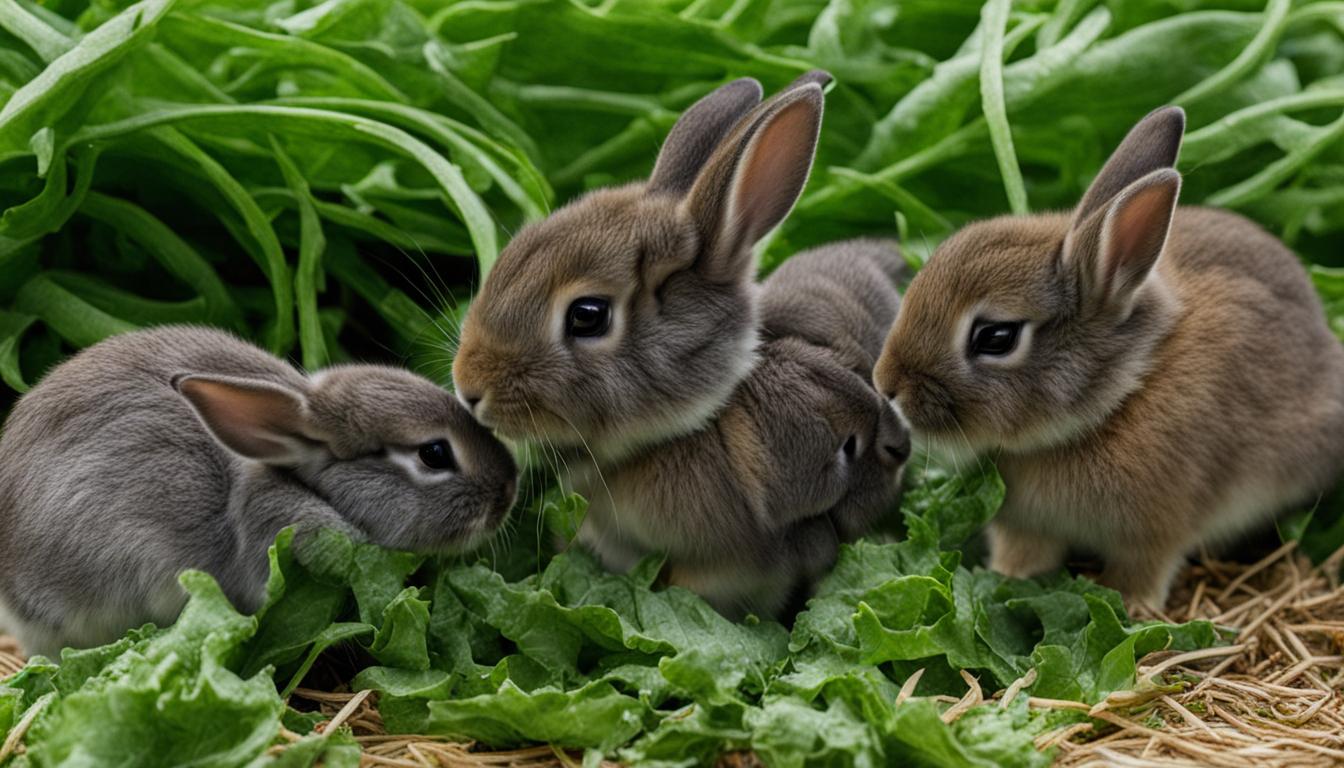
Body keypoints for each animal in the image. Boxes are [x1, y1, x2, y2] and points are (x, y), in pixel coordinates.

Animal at [873, 106, 1344, 610]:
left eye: (996, 337)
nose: (886, 385)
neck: (1118, 397)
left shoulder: (1157, 531)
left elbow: (1144, 569)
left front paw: (1132, 606)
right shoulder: (1026, 527)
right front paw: (1007, 576)